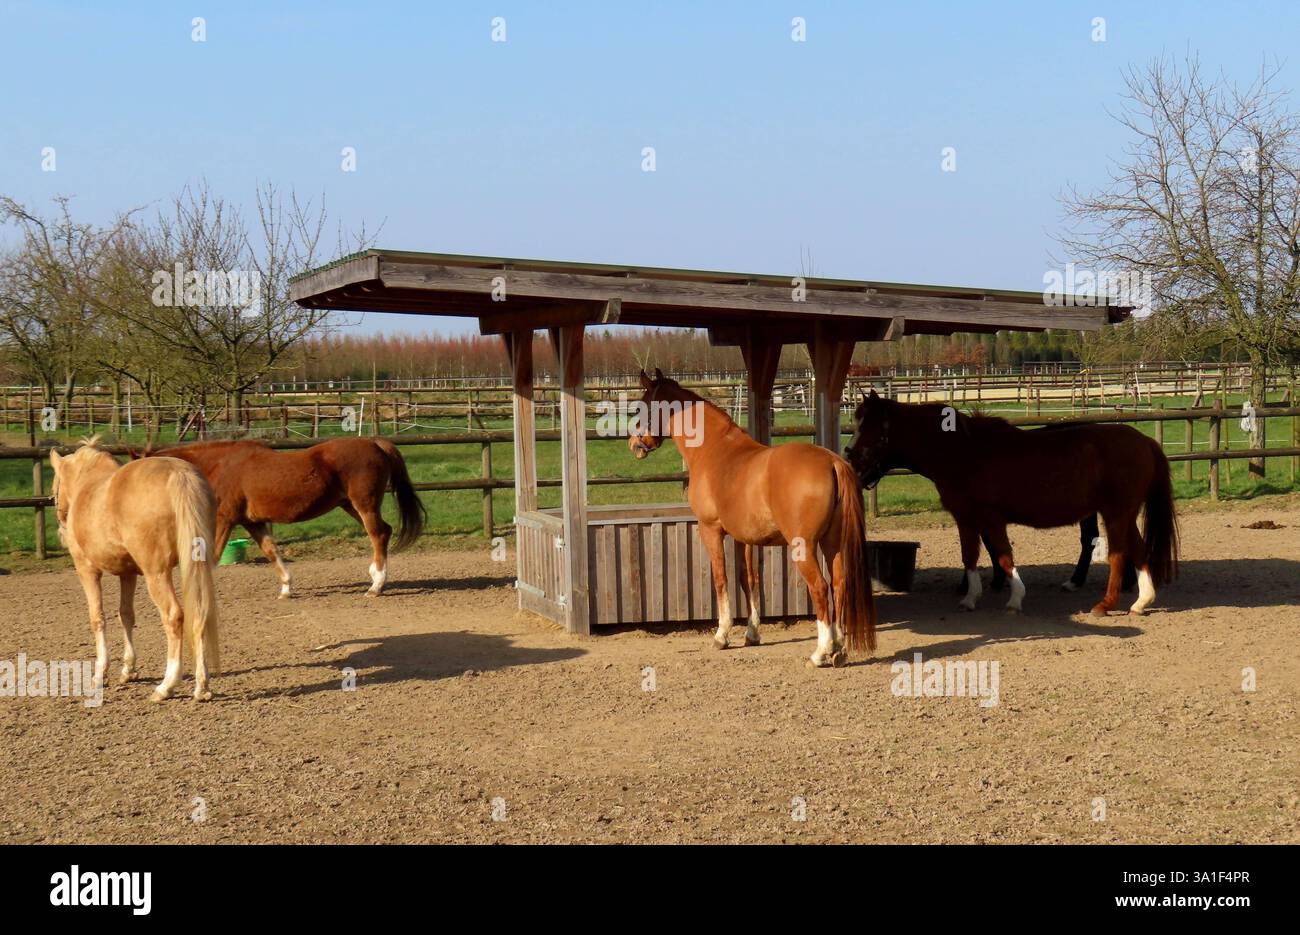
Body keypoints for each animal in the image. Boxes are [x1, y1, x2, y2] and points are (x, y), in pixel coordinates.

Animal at [51, 438, 220, 702]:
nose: (61, 527)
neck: (88, 486)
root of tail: (180, 475)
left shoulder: (87, 571)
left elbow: (97, 617)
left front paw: (100, 674)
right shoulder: (127, 573)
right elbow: (126, 615)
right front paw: (128, 670)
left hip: (157, 574)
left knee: (173, 616)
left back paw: (166, 686)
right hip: (195, 567)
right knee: (199, 614)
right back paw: (202, 686)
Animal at [144, 437, 425, 598]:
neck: (219, 467)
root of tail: (376, 443)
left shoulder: (224, 519)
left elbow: (210, 557)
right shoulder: (252, 522)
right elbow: (271, 551)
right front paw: (287, 588)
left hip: (364, 504)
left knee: (378, 534)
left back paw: (376, 585)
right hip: (350, 506)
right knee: (383, 531)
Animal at [628, 370, 876, 666]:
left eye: (642, 406)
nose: (634, 445)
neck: (715, 450)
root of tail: (833, 462)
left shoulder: (710, 529)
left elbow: (720, 578)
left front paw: (721, 636)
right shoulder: (743, 538)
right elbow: (748, 580)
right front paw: (752, 634)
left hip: (803, 546)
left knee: (819, 587)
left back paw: (821, 652)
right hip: (832, 542)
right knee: (839, 584)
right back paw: (839, 649)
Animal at [845, 391, 1177, 616]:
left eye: (871, 430)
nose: (850, 461)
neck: (963, 453)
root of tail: (1146, 442)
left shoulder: (991, 518)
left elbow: (1004, 557)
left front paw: (1015, 598)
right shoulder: (966, 518)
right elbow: (970, 556)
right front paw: (970, 597)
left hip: (1116, 514)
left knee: (1119, 555)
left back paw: (1105, 604)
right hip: (1124, 514)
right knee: (1139, 551)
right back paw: (1141, 601)